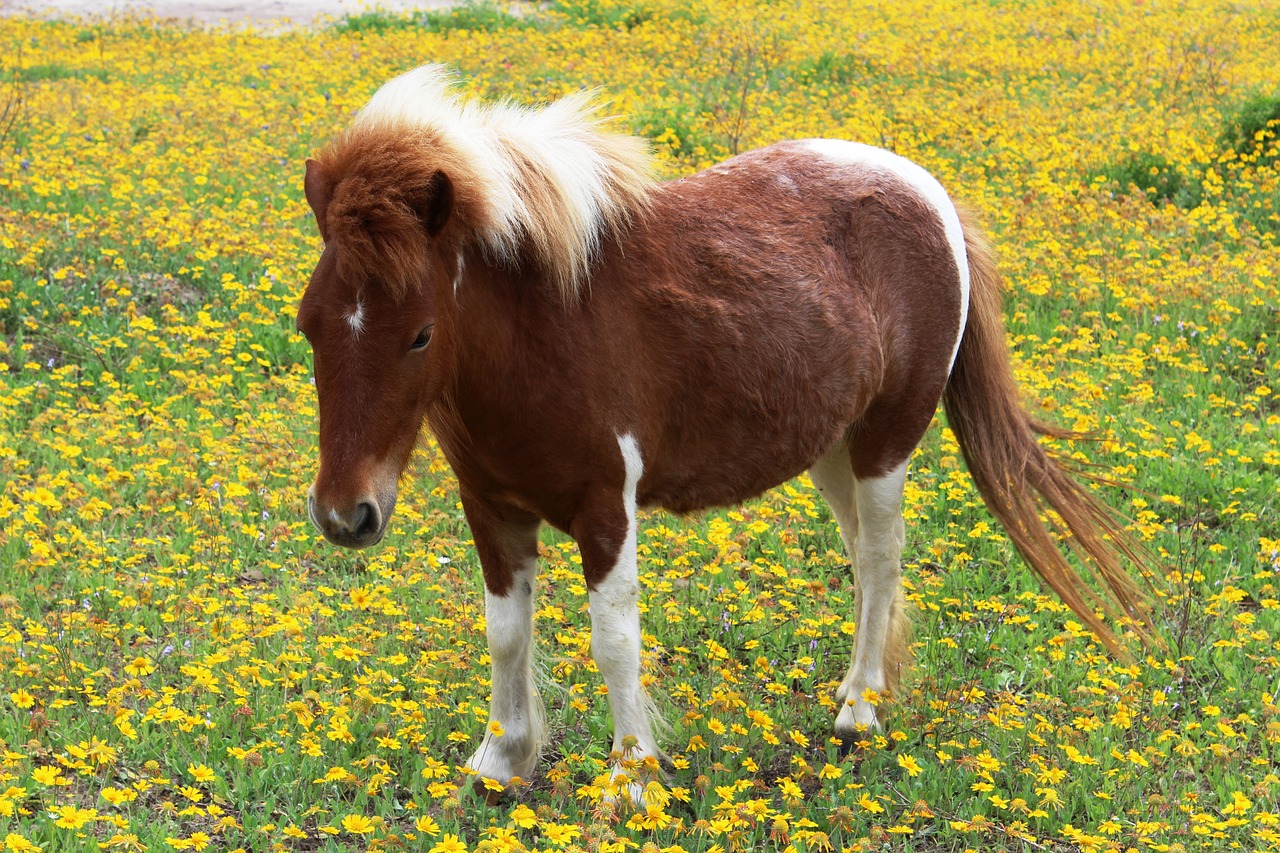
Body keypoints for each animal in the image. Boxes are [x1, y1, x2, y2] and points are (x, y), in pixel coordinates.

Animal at [296, 65, 1149, 796]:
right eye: (309, 324)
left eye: (419, 335)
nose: (346, 514)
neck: (540, 327)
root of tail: (927, 190)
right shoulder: (492, 507)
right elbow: (505, 631)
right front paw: (500, 762)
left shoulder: (606, 509)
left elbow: (615, 639)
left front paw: (629, 779)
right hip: (832, 449)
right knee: (861, 559)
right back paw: (857, 688)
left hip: (885, 443)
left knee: (880, 559)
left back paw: (858, 714)